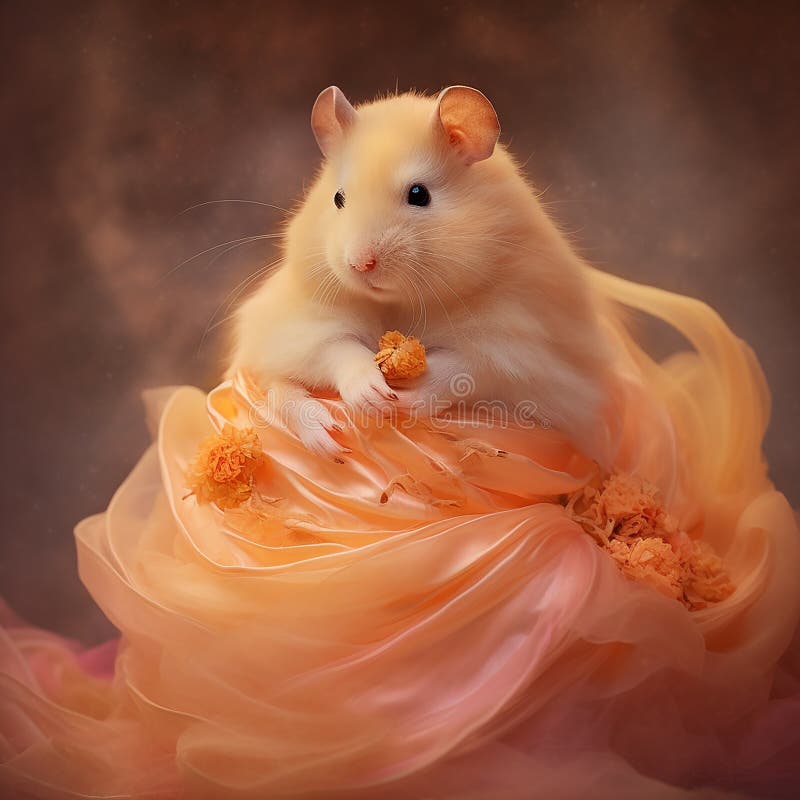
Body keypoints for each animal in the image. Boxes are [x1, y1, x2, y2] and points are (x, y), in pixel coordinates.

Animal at [230, 85, 617, 461]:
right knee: (279, 389)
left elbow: (464, 368)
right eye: (338, 198)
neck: (400, 302)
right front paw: (373, 397)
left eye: (419, 194)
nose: (360, 264)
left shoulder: (523, 350)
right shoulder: (301, 324)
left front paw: (401, 402)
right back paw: (329, 441)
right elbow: (339, 348)